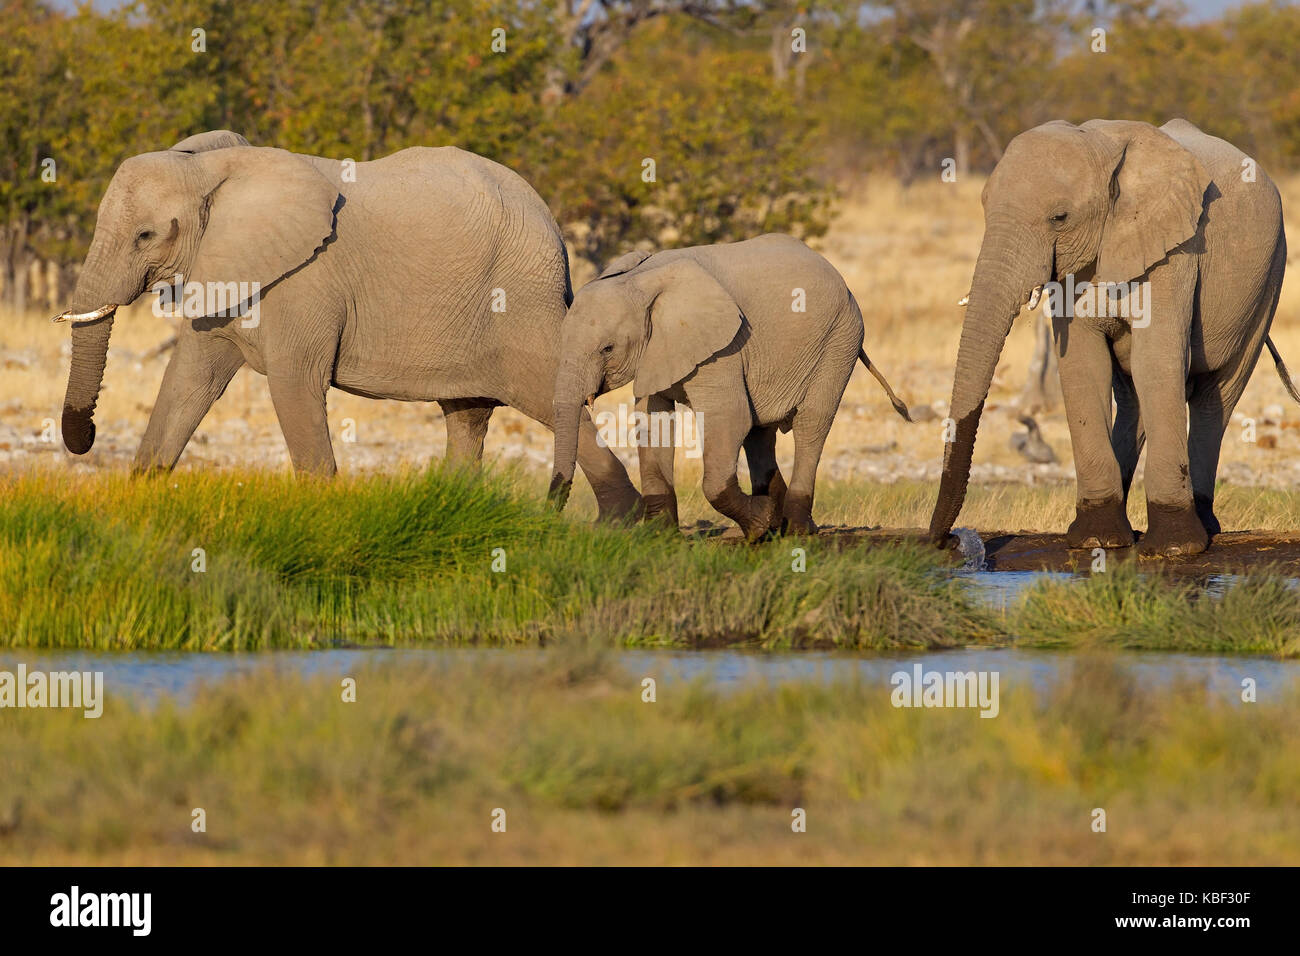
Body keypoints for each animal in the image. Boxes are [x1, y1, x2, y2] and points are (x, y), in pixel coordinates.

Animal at [50, 130, 641, 519]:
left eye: (146, 236)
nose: (86, 436)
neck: (215, 168)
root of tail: (554, 230)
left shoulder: (306, 282)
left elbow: (294, 387)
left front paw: (319, 516)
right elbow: (188, 383)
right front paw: (140, 500)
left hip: (521, 306)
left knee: (556, 402)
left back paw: (626, 526)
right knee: (467, 416)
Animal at [548, 234, 910, 539]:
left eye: (607, 349)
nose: (549, 510)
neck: (640, 280)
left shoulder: (722, 348)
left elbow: (729, 418)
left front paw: (760, 523)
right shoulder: (656, 350)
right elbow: (654, 422)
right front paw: (659, 537)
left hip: (840, 339)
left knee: (812, 423)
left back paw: (795, 529)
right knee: (759, 431)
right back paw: (781, 522)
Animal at [929, 118, 1293, 557]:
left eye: (1059, 217)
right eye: (984, 206)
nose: (950, 540)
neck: (1102, 148)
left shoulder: (1176, 251)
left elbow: (1158, 361)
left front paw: (1173, 548)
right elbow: (1082, 366)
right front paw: (1096, 539)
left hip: (1269, 278)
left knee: (1215, 395)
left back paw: (1205, 526)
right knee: (1134, 396)